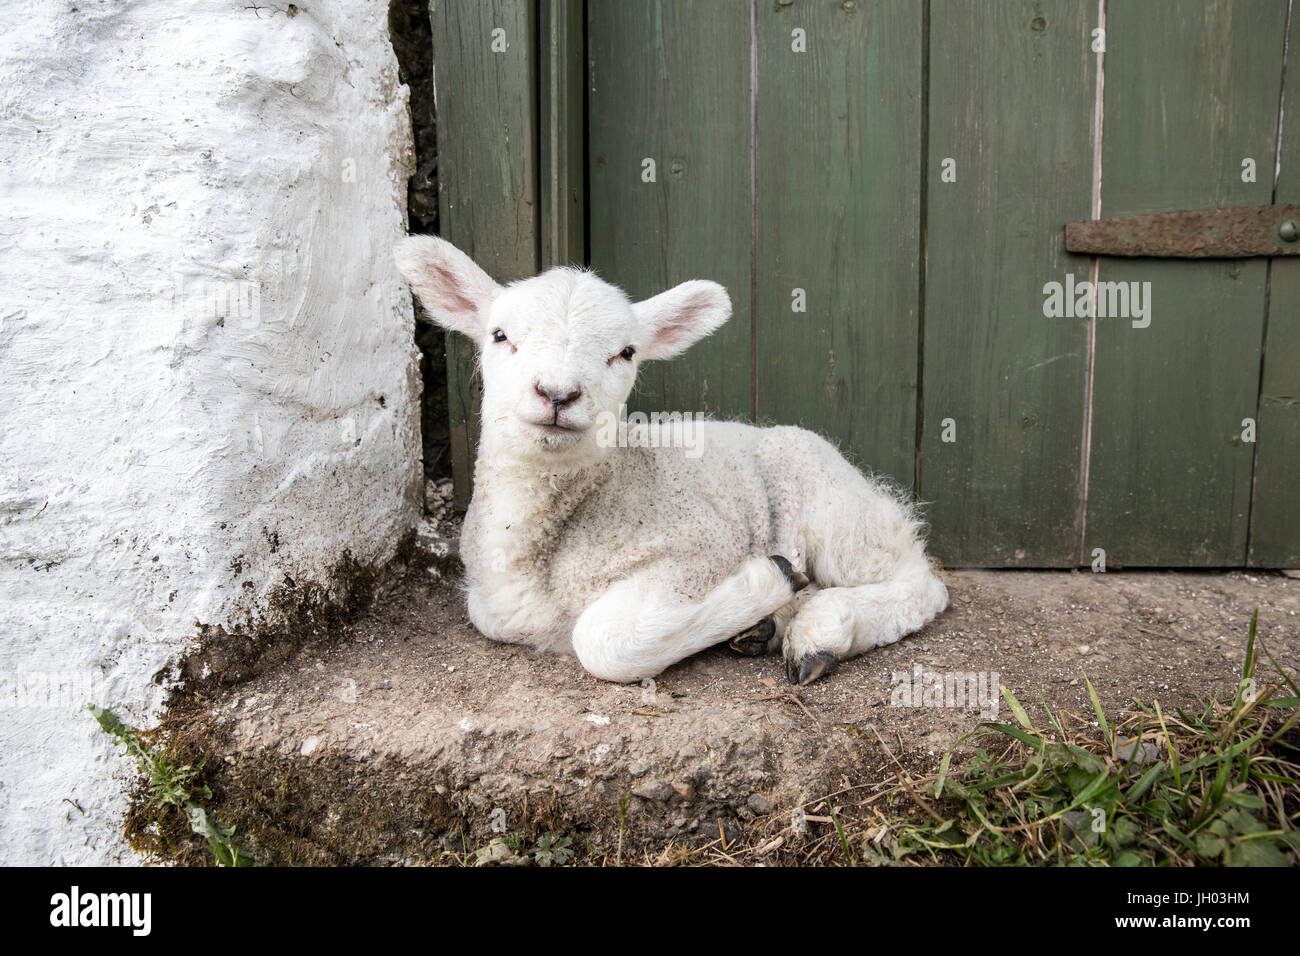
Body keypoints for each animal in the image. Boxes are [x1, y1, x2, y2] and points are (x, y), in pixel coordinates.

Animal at [395, 236, 949, 685]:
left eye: (626, 352)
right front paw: (768, 603)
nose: (557, 394)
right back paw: (769, 626)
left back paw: (821, 630)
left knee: (920, 583)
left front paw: (769, 580)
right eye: (499, 335)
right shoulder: (491, 604)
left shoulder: (699, 550)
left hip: (834, 510)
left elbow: (603, 641)